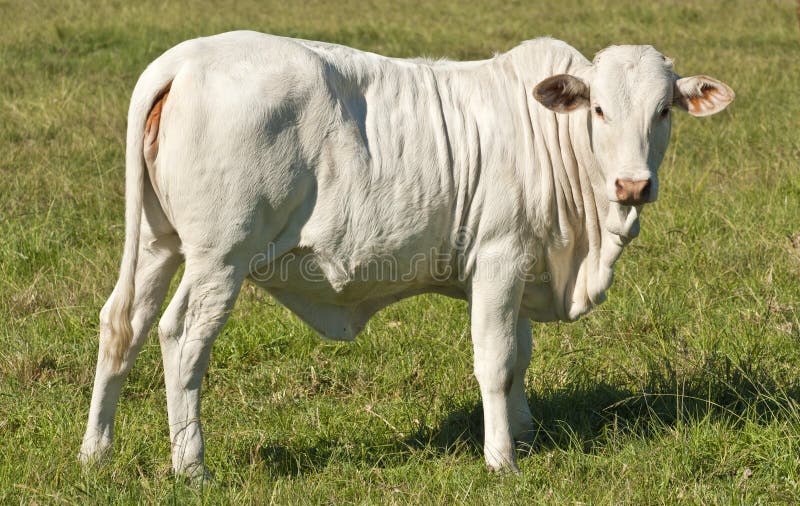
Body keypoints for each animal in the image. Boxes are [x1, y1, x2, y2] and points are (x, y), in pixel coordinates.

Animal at [79, 31, 734, 477]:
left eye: (663, 110)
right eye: (599, 109)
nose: (633, 185)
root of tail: (185, 59)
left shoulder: (523, 261)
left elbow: (520, 355)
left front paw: (524, 431)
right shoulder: (497, 258)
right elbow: (495, 360)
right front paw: (502, 458)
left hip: (159, 243)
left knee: (123, 325)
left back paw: (96, 453)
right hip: (221, 256)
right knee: (182, 338)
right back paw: (191, 465)